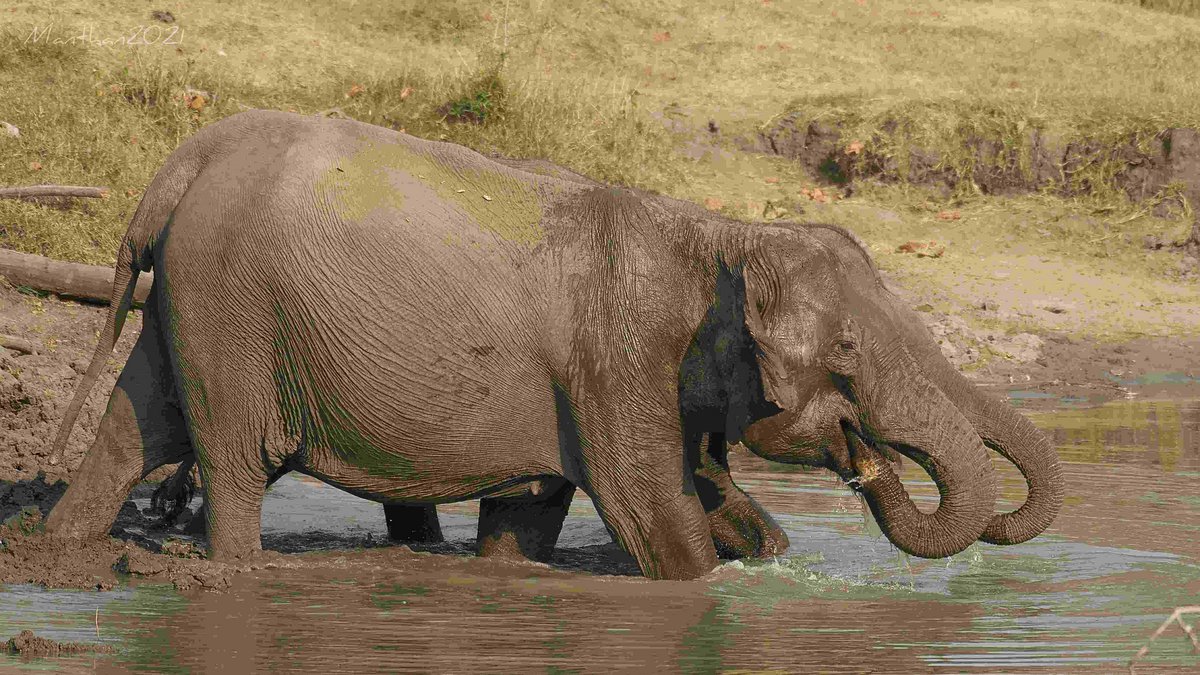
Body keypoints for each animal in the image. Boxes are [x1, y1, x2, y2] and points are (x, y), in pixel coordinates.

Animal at [44, 109, 1063, 580]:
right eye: (846, 357)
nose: (864, 455)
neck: (719, 233)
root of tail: (182, 164)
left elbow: (533, 515)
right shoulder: (617, 355)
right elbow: (652, 509)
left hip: (189, 305)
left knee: (134, 430)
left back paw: (56, 548)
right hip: (230, 308)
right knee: (231, 459)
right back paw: (235, 570)